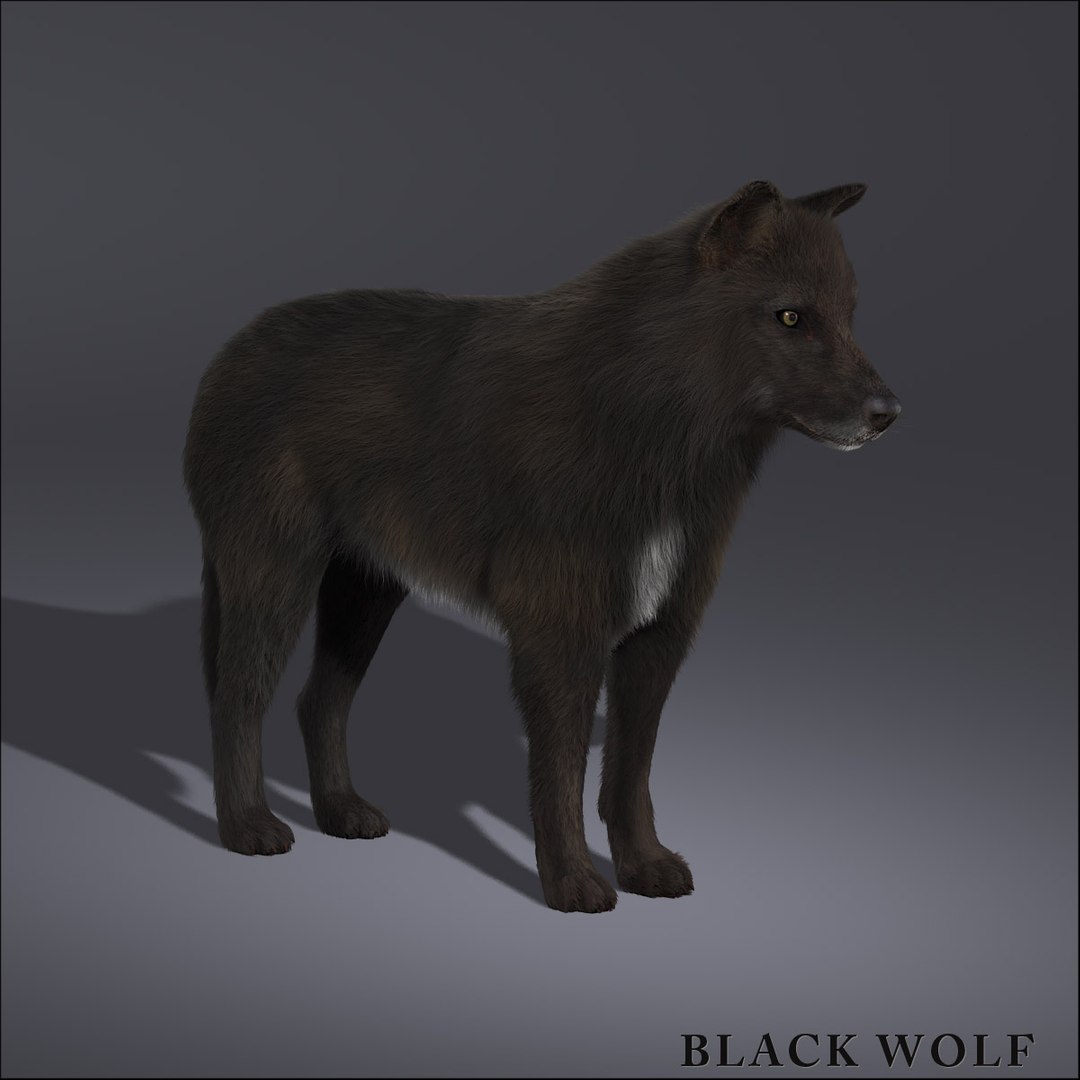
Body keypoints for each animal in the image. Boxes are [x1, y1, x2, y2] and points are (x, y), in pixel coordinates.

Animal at [182, 179, 901, 913]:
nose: (888, 413)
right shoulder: (561, 637)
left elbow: (630, 773)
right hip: (275, 577)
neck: (647, 412)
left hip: (365, 593)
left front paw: (643, 867)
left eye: (849, 317)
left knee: (318, 700)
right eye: (790, 317)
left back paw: (340, 811)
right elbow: (559, 775)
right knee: (237, 697)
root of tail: (230, 351)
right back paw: (246, 826)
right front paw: (572, 882)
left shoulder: (657, 639)